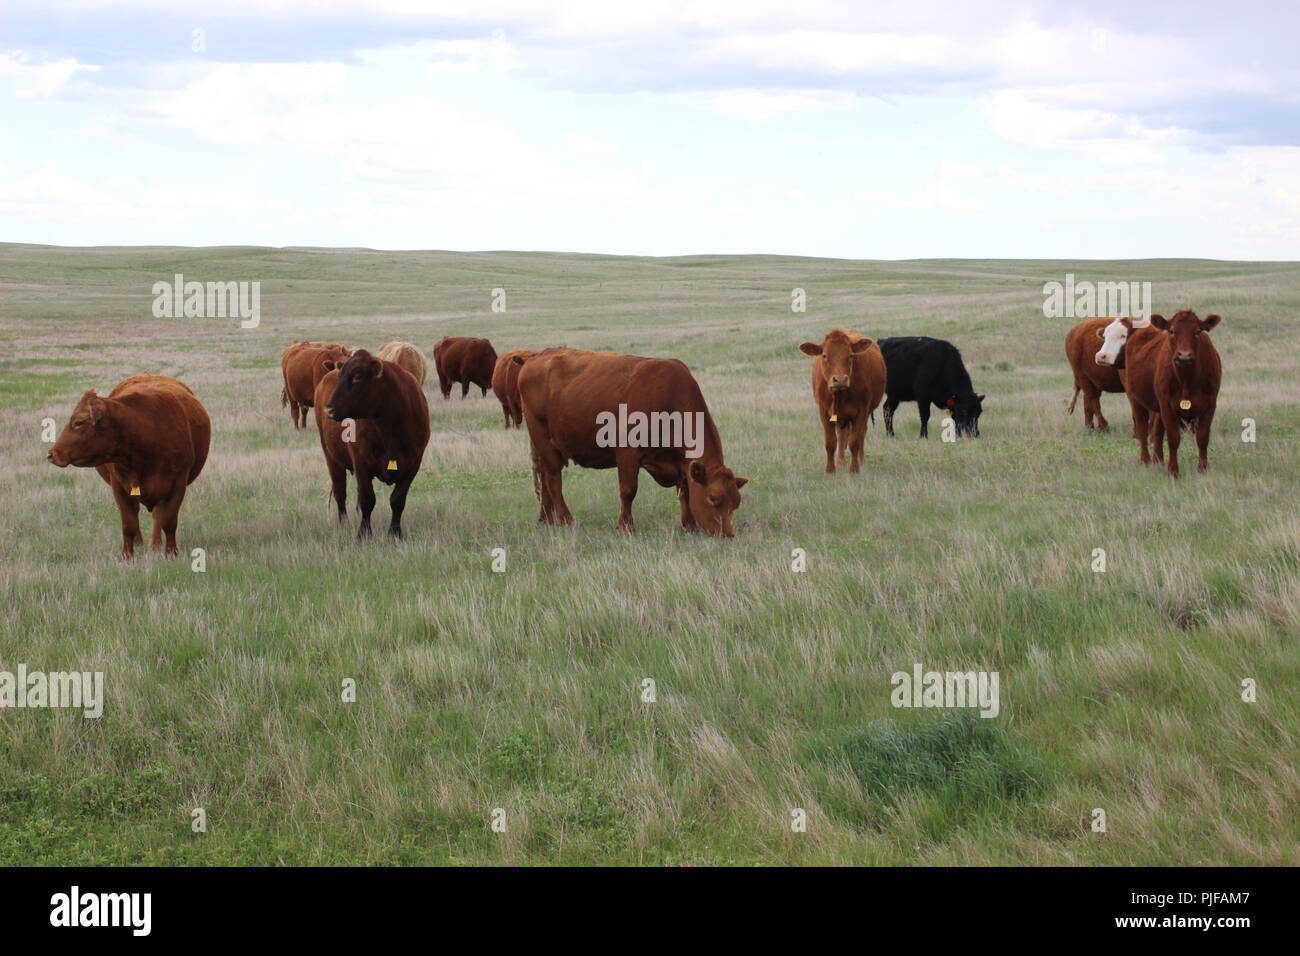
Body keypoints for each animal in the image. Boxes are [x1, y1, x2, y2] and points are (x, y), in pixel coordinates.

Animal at [47, 374, 211, 559]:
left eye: (79, 422)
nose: (52, 454)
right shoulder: (119, 488)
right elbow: (128, 524)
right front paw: (127, 556)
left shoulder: (177, 484)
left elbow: (168, 521)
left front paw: (171, 553)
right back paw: (140, 543)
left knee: (157, 516)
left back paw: (155, 543)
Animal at [315, 349, 430, 538]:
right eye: (341, 376)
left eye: (357, 377)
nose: (329, 409)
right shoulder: (362, 464)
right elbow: (368, 500)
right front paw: (364, 533)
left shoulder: (413, 465)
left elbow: (397, 500)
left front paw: (395, 533)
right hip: (331, 458)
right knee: (340, 491)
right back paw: (344, 523)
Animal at [515, 348, 748, 536]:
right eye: (712, 498)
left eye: (736, 504)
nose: (728, 534)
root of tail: (537, 356)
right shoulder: (628, 452)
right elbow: (628, 490)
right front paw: (625, 526)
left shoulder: (681, 463)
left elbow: (685, 491)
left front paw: (689, 525)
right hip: (543, 438)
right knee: (554, 478)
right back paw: (565, 519)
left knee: (544, 477)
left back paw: (546, 518)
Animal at [798, 329, 886, 474]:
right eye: (824, 355)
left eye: (850, 355)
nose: (840, 380)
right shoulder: (824, 412)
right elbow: (830, 442)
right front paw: (830, 470)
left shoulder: (862, 411)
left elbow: (855, 441)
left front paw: (854, 470)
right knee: (841, 435)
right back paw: (840, 462)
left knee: (861, 434)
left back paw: (861, 461)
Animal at [1116, 311, 1222, 477]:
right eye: (1172, 331)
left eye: (1197, 331)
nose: (1184, 355)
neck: (1187, 381)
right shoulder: (1167, 407)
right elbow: (1173, 439)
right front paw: (1173, 471)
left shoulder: (1210, 406)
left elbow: (1202, 438)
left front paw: (1202, 469)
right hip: (1136, 400)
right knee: (1142, 430)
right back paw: (1145, 460)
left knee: (1157, 433)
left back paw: (1158, 460)